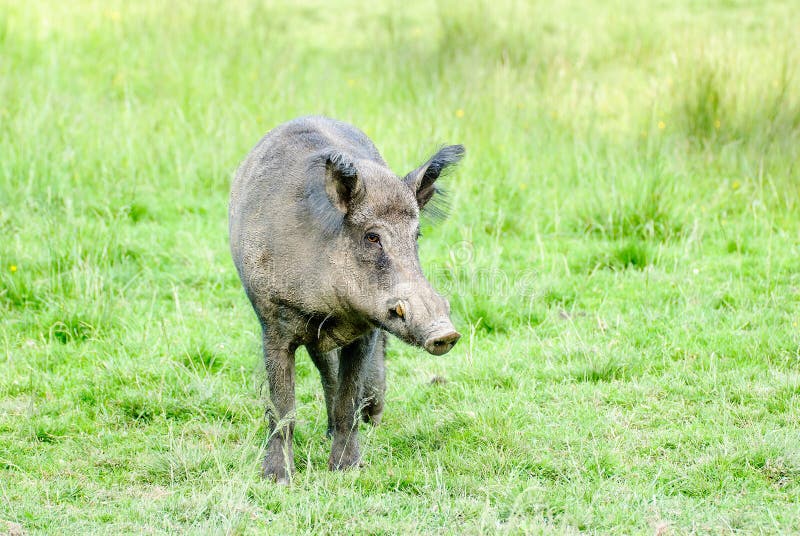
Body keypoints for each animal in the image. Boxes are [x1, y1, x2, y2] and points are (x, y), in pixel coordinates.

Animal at [228, 116, 464, 483]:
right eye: (372, 236)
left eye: (417, 236)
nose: (446, 334)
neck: (331, 308)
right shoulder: (273, 323)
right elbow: (283, 407)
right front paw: (278, 479)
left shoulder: (365, 332)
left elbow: (347, 399)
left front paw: (346, 469)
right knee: (326, 371)